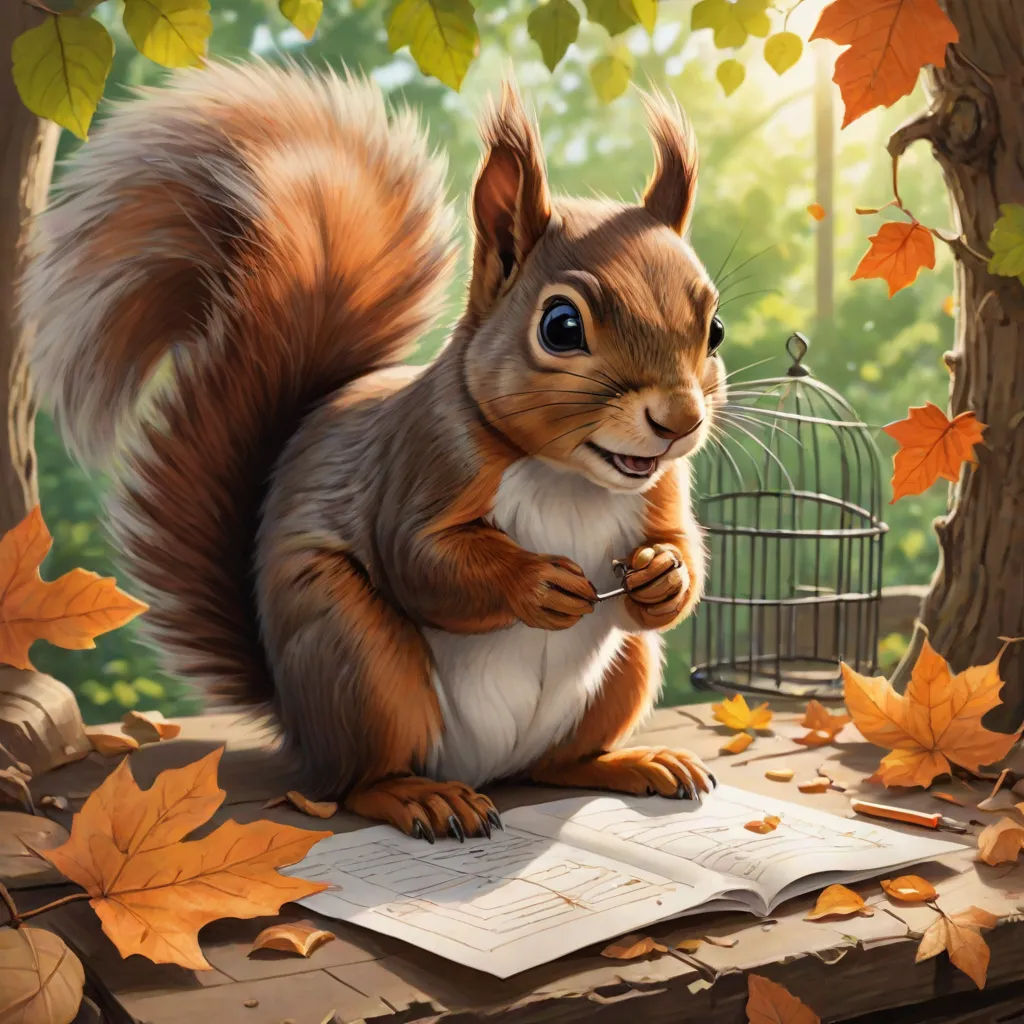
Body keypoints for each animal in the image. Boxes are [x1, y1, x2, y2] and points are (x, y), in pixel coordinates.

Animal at [22, 62, 726, 842]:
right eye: (561, 326)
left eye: (715, 329)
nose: (679, 421)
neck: (567, 475)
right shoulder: (425, 459)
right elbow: (420, 559)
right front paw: (538, 582)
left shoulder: (662, 486)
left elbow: (682, 547)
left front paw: (662, 575)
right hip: (357, 660)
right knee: (358, 781)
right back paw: (420, 797)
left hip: (620, 674)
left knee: (557, 763)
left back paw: (630, 762)